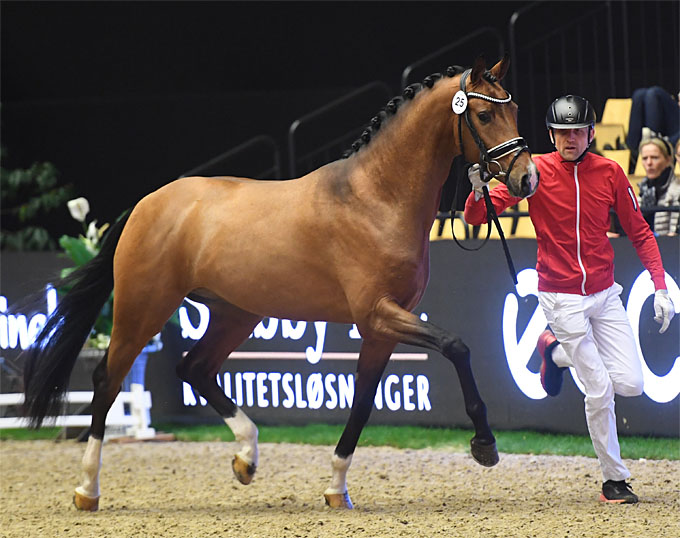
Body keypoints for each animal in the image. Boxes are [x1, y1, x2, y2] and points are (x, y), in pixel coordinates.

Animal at [22, 55, 538, 511]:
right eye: (484, 113)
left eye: (514, 109)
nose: (527, 178)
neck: (374, 198)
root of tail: (146, 203)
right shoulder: (378, 313)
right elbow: (456, 346)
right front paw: (485, 444)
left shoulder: (382, 328)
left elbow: (363, 401)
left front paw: (337, 489)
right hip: (142, 306)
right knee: (108, 379)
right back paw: (87, 490)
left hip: (236, 313)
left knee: (195, 368)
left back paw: (246, 457)